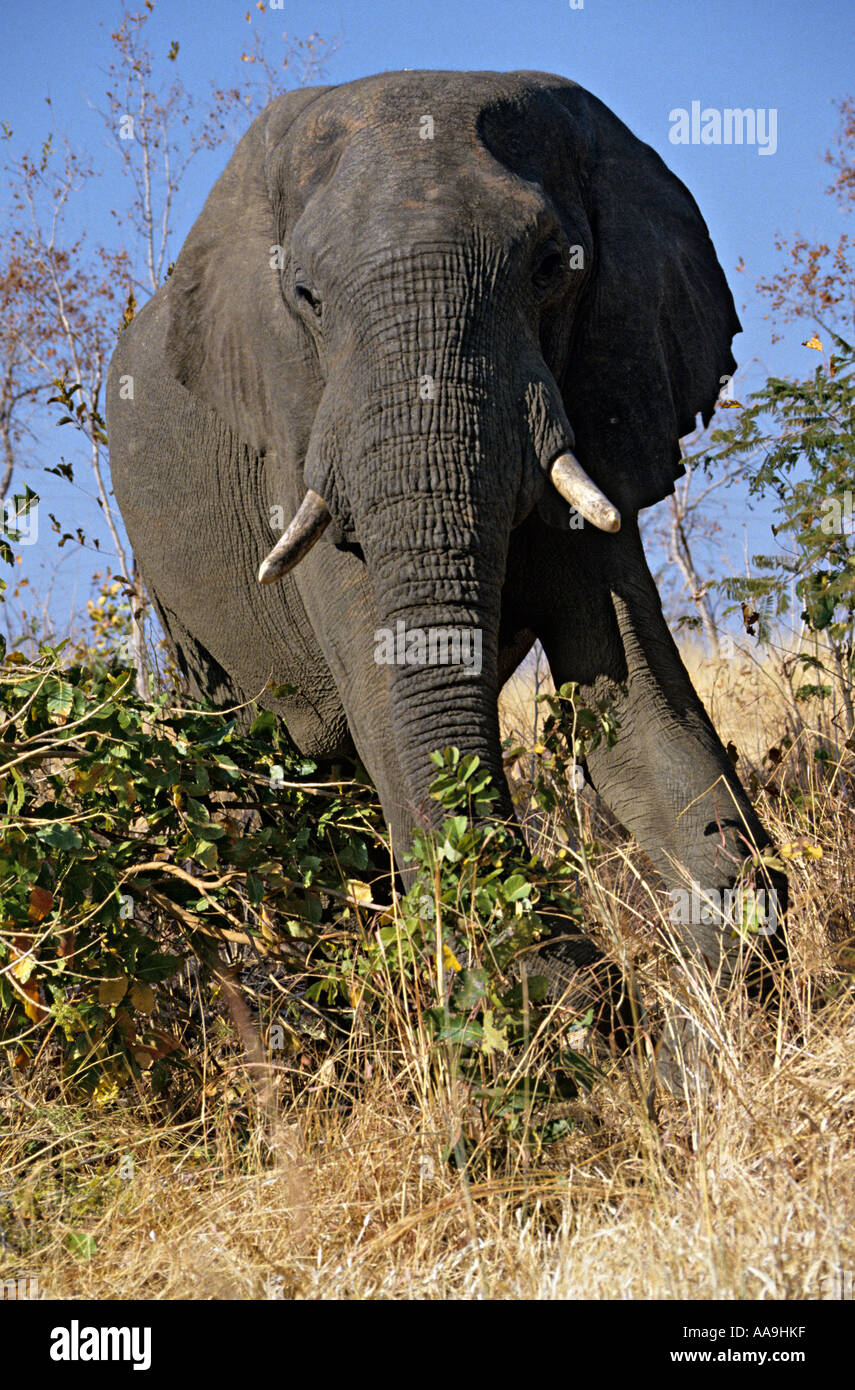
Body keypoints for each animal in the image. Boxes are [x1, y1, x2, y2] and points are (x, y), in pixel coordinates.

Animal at [106, 70, 786, 1065]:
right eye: (305, 295)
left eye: (550, 268)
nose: (615, 1011)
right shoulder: (299, 430)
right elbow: (388, 695)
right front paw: (563, 1006)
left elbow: (635, 702)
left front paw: (697, 1018)